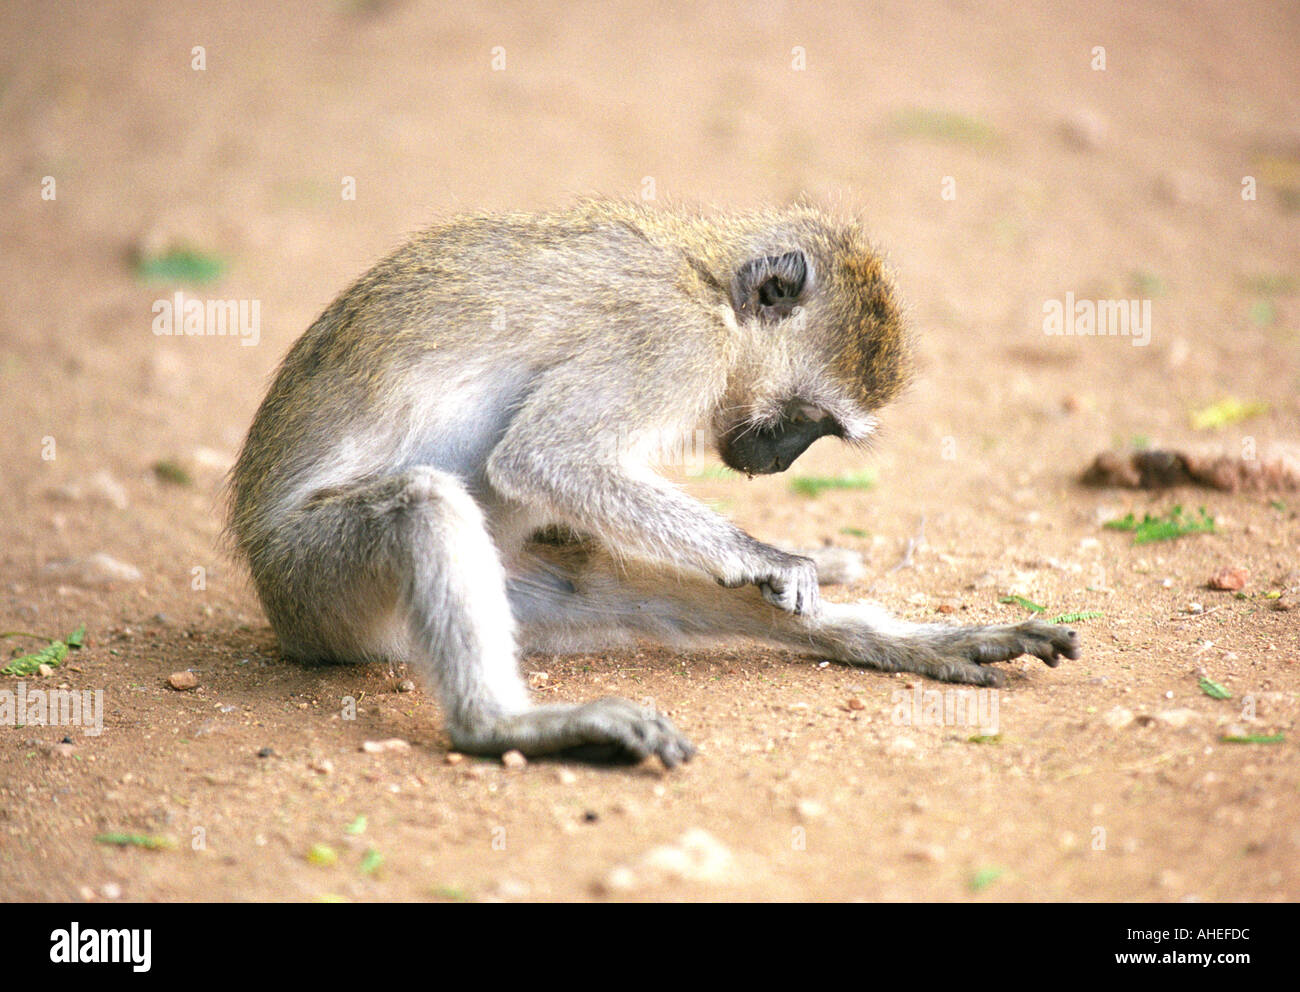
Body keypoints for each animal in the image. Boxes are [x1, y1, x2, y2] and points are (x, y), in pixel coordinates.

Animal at [227, 199, 1081, 769]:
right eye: (809, 418)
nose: (784, 461)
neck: (707, 284)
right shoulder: (672, 340)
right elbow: (547, 458)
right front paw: (775, 557)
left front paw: (816, 572)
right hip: (313, 583)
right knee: (424, 505)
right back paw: (503, 727)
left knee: (621, 591)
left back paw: (902, 641)